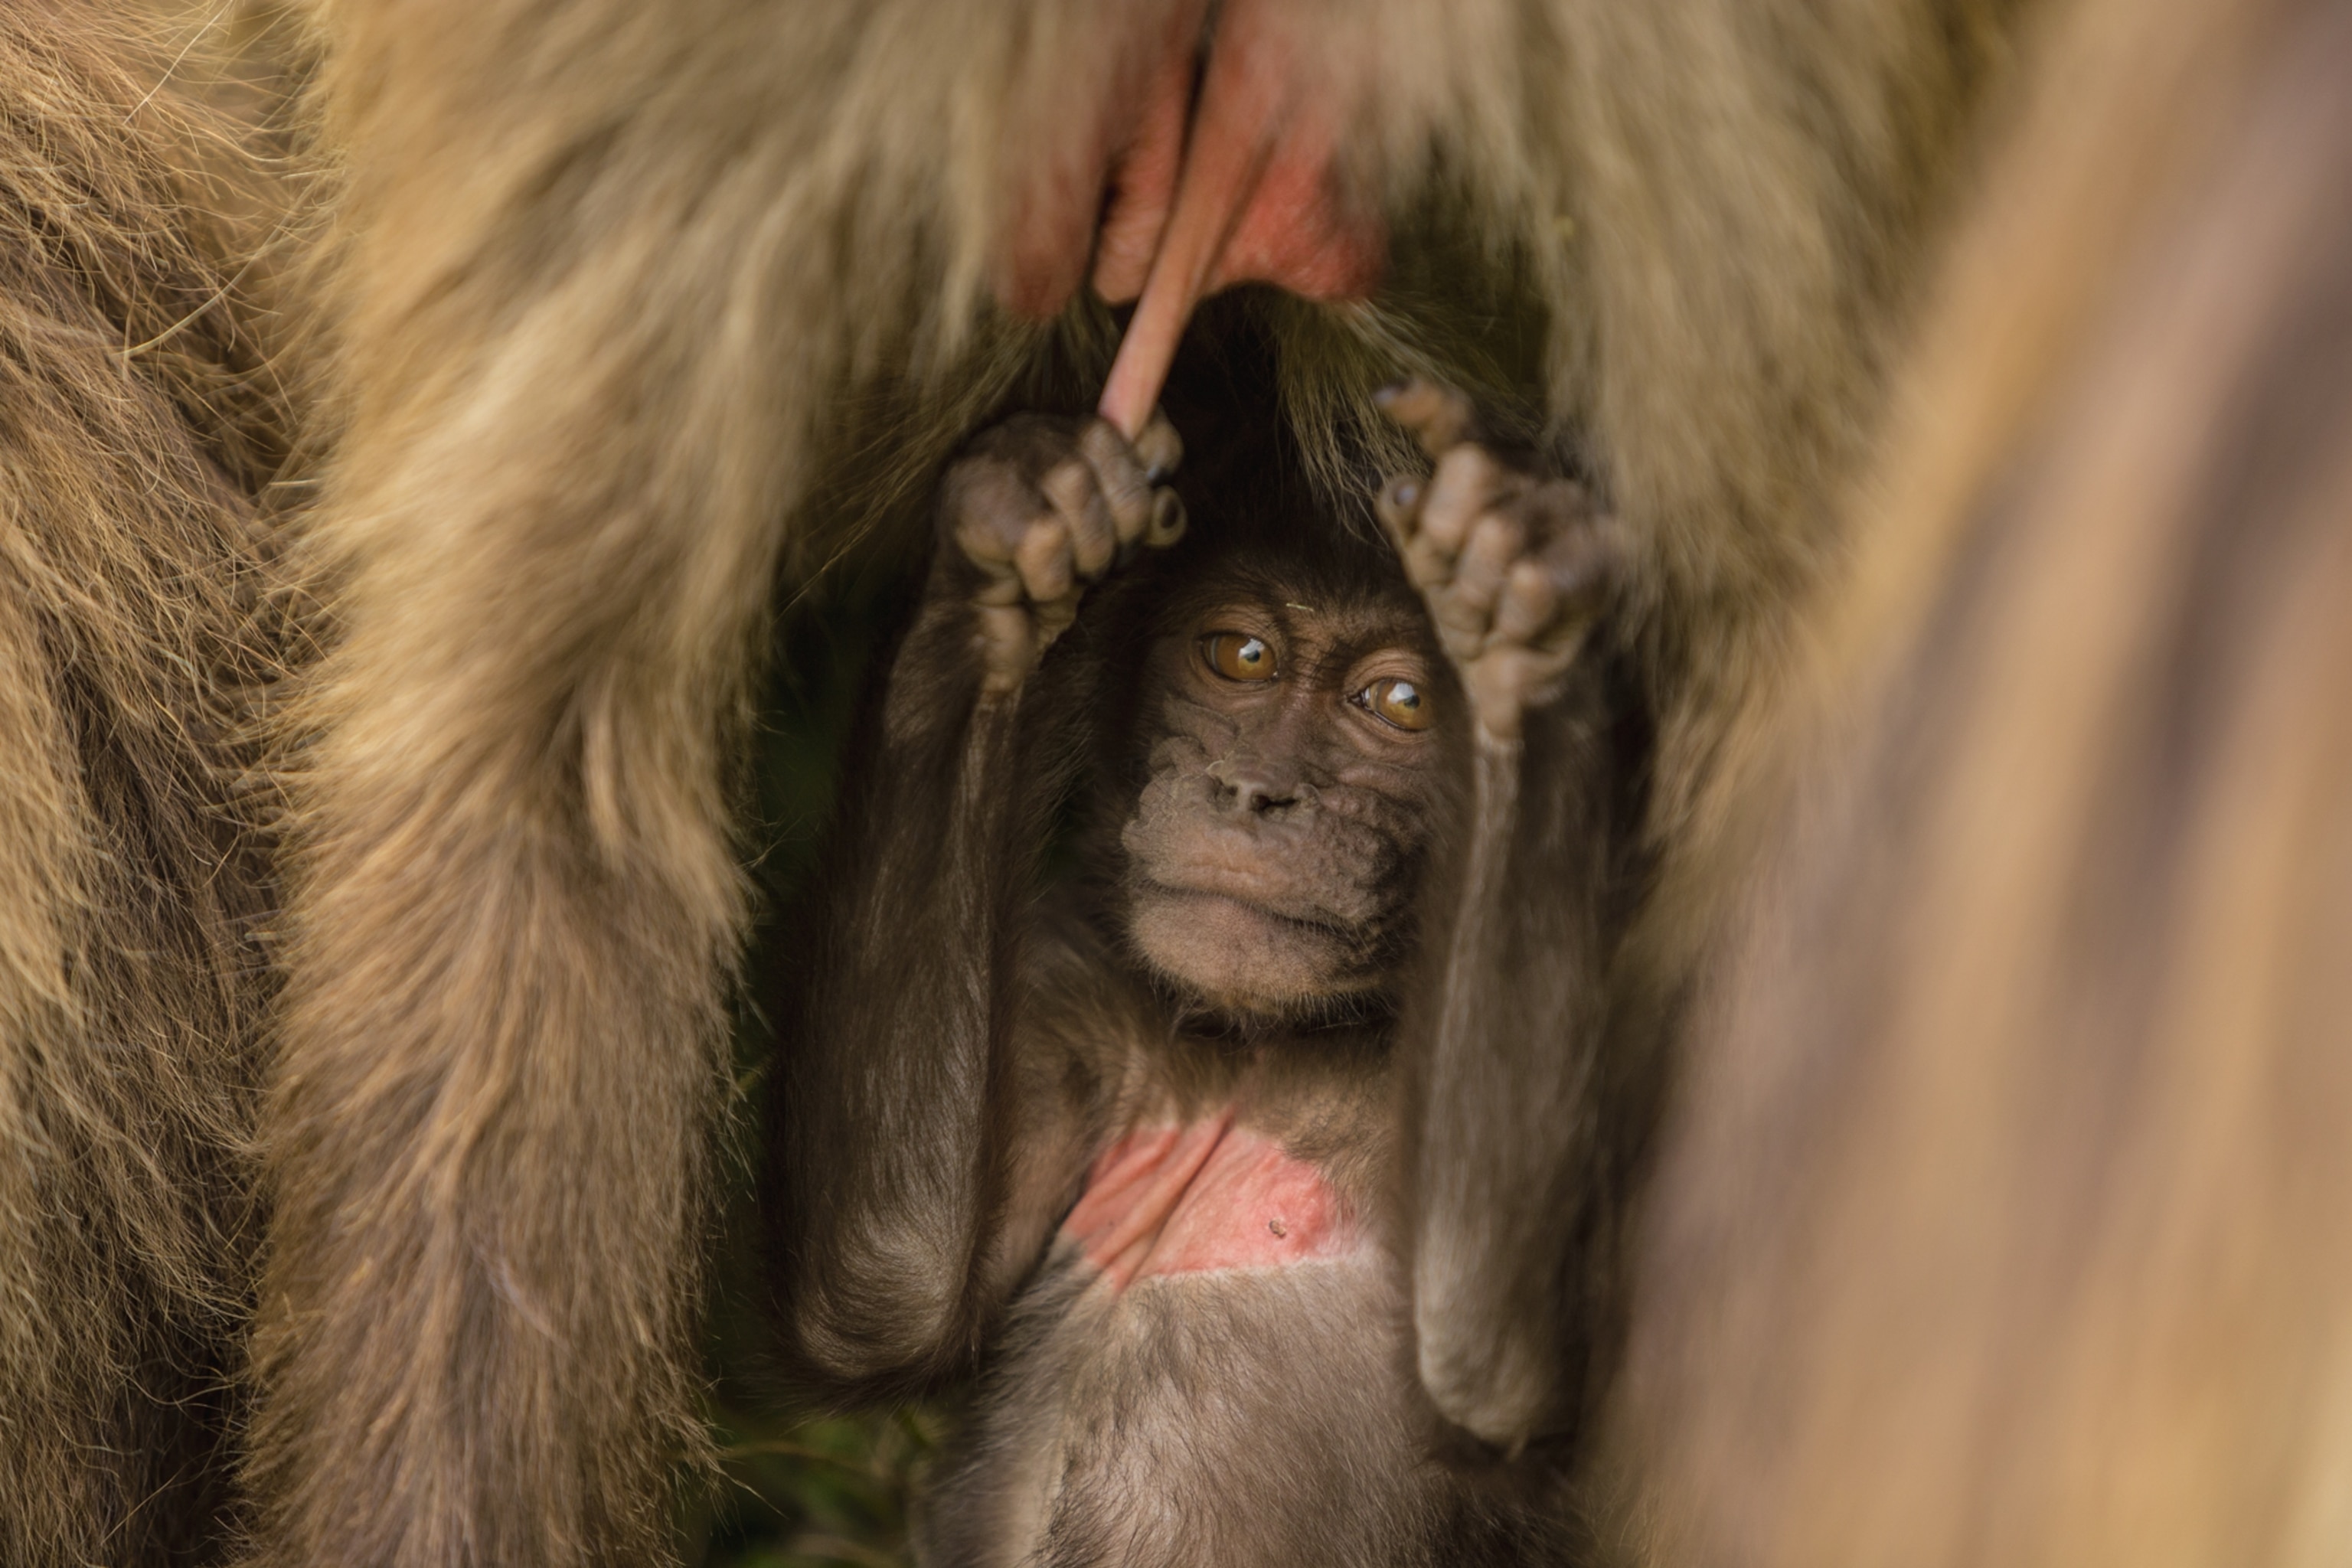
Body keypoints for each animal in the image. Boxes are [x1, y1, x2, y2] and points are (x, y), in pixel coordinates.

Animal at [765, 364, 1634, 1564]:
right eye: (1241, 656)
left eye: (1401, 702)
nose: (1256, 790)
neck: (1288, 1045)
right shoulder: (1071, 982)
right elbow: (890, 1281)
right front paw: (1011, 541)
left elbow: (1487, 1360)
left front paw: (1517, 608)